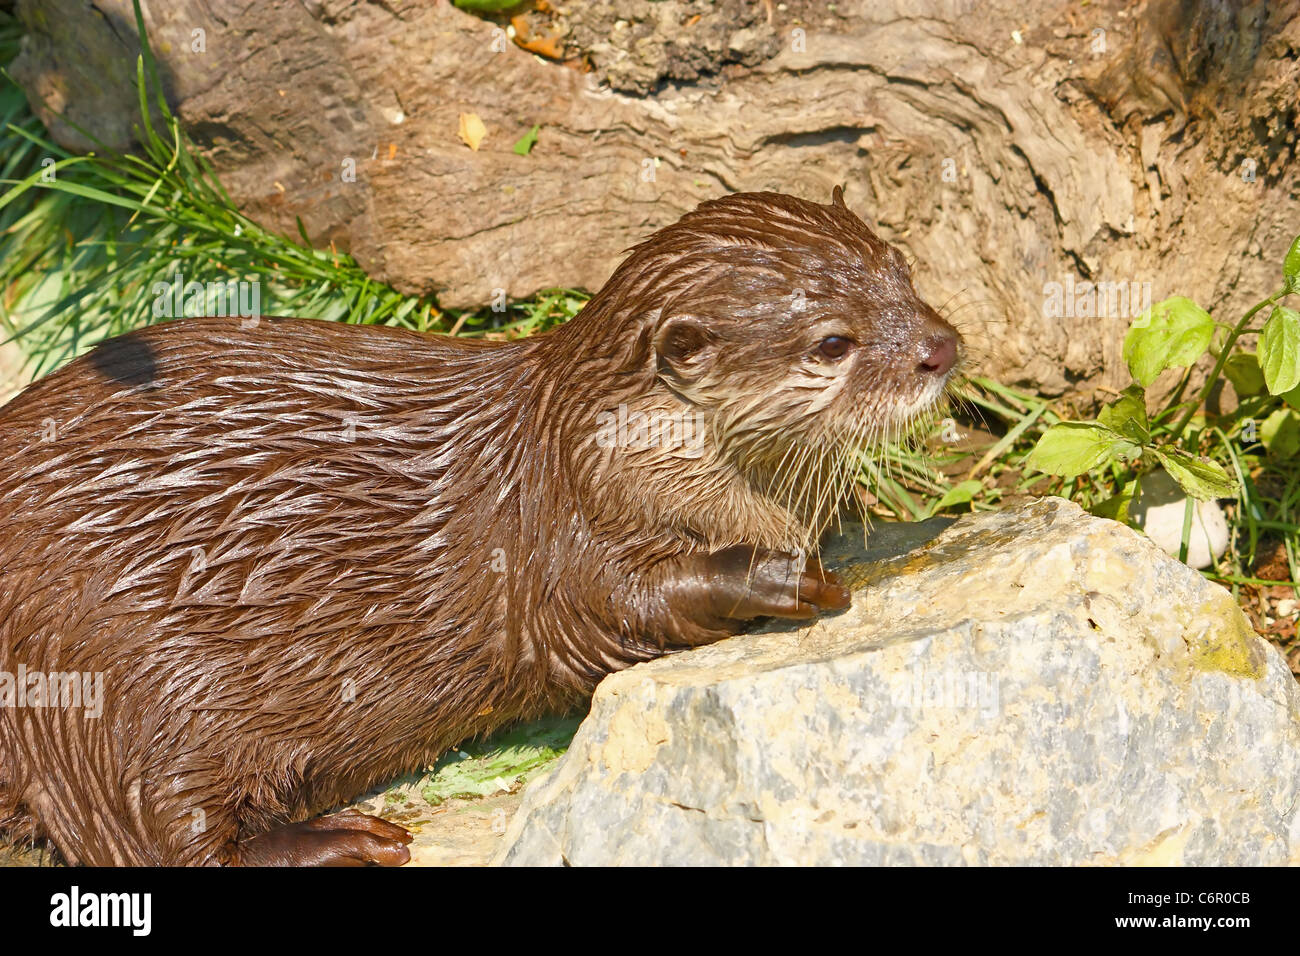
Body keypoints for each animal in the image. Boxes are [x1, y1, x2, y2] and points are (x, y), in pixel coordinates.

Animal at [0, 189, 961, 866]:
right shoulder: (565, 538)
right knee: (148, 831)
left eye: (905, 273)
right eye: (832, 343)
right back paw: (341, 840)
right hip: (117, 686)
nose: (941, 347)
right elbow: (620, 608)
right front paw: (776, 575)